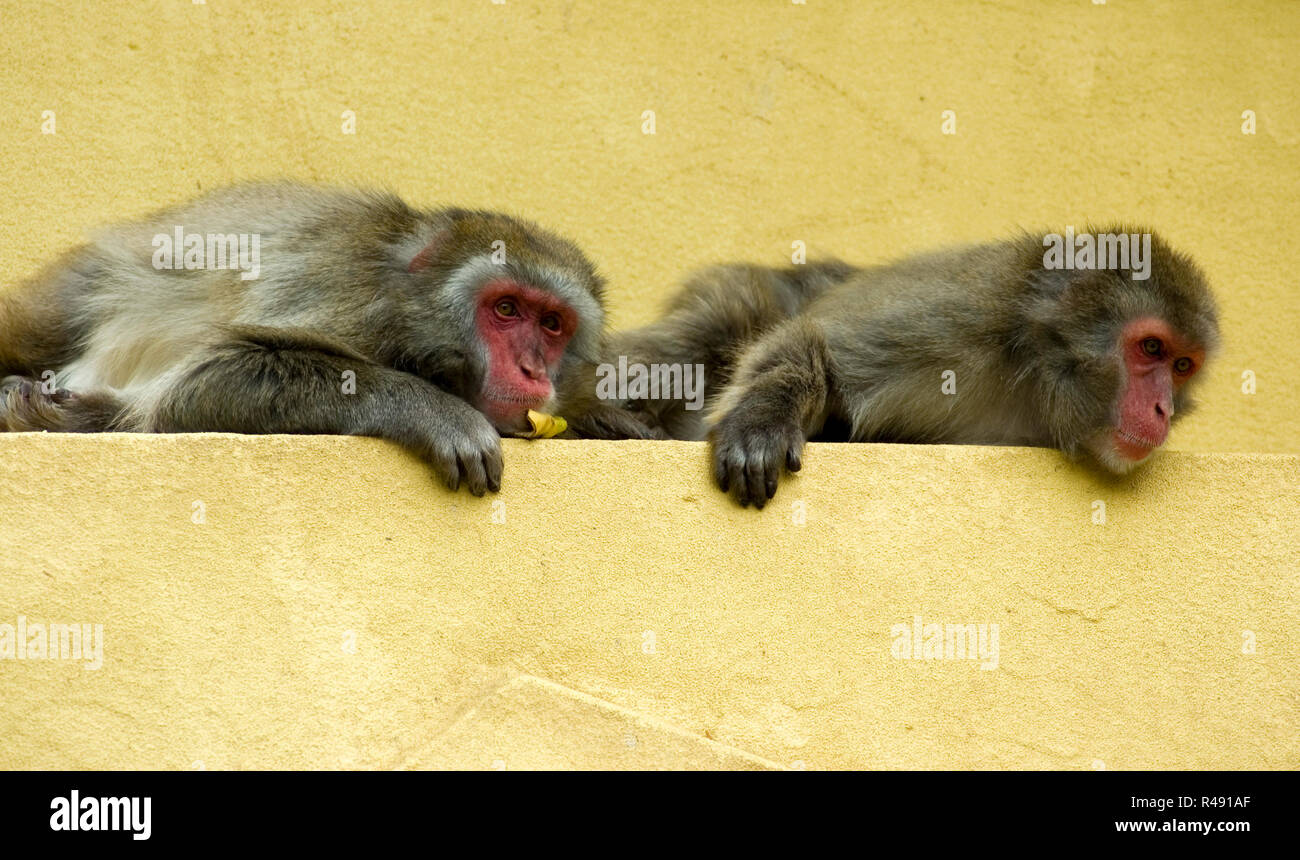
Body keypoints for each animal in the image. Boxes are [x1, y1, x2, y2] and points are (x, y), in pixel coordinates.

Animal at [0, 181, 653, 495]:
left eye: (551, 324)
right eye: (507, 309)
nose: (531, 370)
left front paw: (601, 418)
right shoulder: (344, 296)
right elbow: (204, 380)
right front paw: (435, 411)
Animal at [570, 228, 1220, 507]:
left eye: (1183, 366)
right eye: (1150, 349)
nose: (1162, 408)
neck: (1027, 371)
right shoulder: (954, 319)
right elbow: (815, 342)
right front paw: (761, 421)